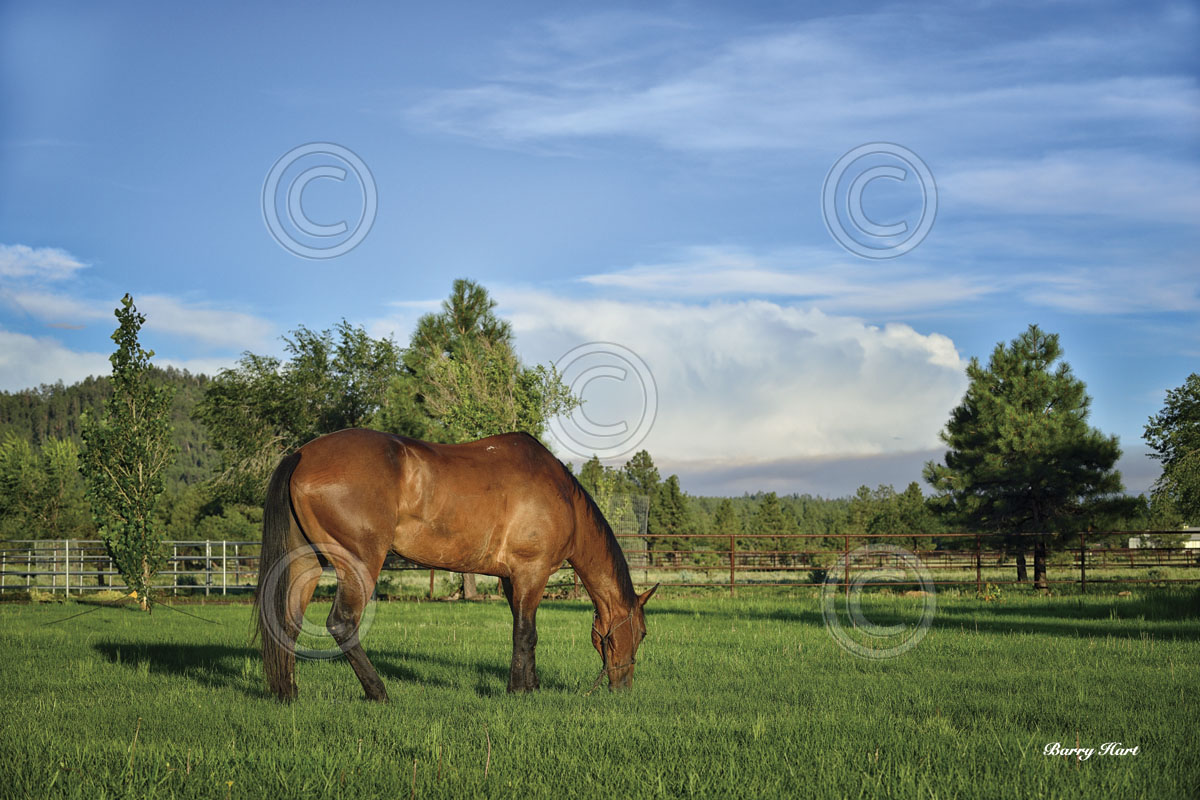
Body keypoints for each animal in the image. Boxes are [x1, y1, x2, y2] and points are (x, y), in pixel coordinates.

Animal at [254, 427, 657, 702]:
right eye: (641, 633)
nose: (623, 687)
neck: (563, 498)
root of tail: (302, 455)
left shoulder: (512, 579)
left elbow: (524, 631)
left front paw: (531, 685)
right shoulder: (532, 572)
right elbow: (526, 633)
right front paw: (518, 690)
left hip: (306, 562)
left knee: (286, 623)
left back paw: (288, 693)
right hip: (359, 564)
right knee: (342, 623)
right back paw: (379, 692)